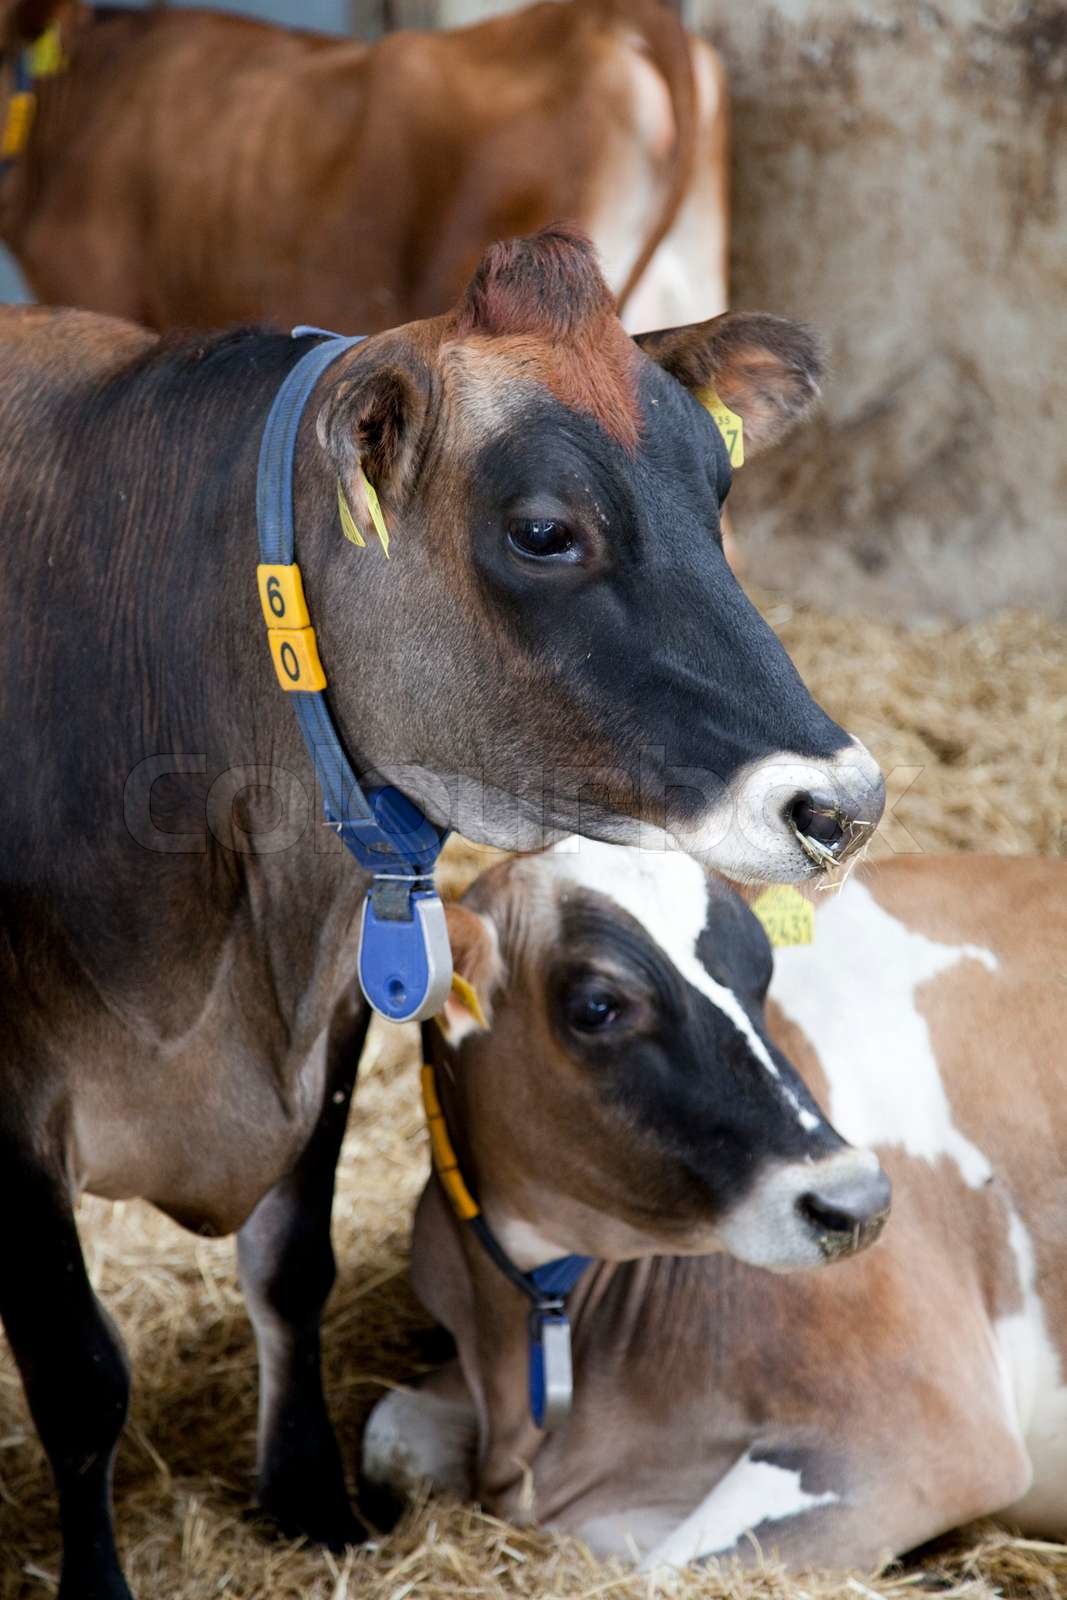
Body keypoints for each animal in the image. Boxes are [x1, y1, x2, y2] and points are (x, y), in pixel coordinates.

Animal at [0, 227, 883, 1600]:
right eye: (542, 530)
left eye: (717, 497)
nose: (840, 800)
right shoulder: (9, 1109)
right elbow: (81, 1376)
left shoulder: (335, 1022)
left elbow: (290, 1268)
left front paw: (311, 1502)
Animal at [363, 848, 1067, 1573]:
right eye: (597, 1007)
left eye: (762, 971)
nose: (856, 1202)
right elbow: (388, 1433)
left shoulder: (929, 1430)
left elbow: (661, 1574)